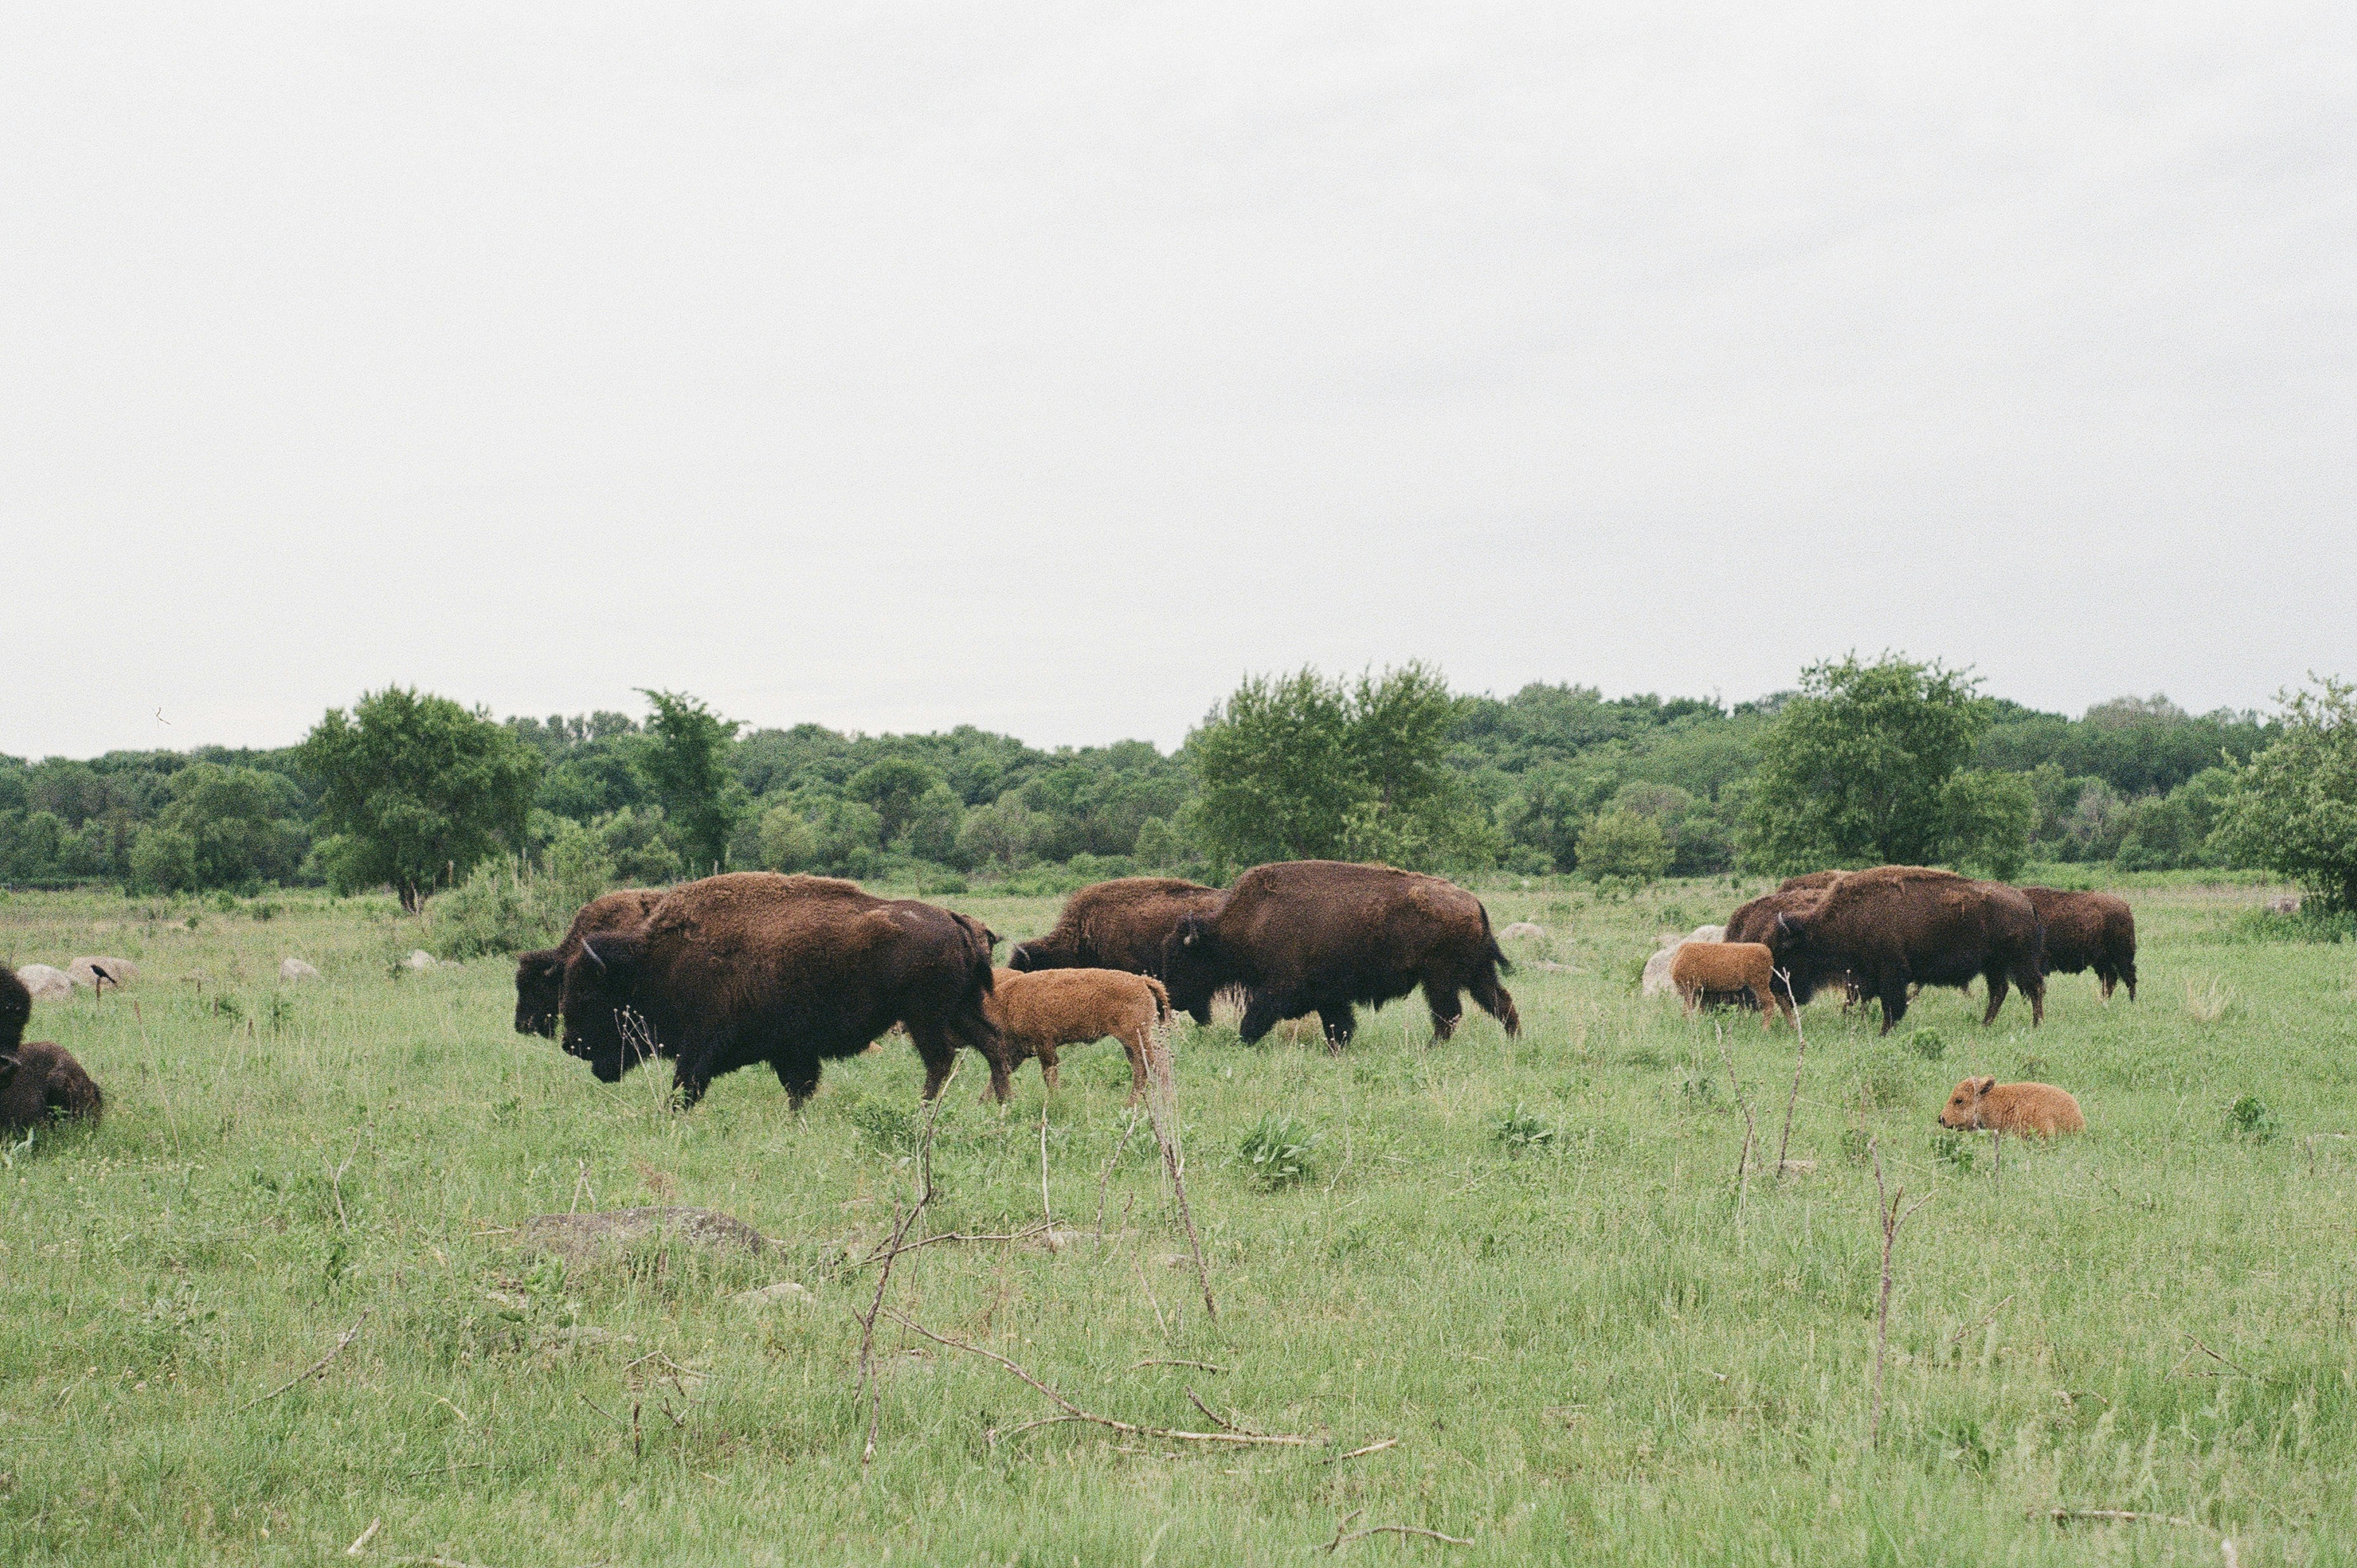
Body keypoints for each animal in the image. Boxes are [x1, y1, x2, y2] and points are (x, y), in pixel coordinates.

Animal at [557, 872, 1011, 1108]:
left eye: (588, 994)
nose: (569, 1045)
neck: (653, 962)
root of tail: (955, 920)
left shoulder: (701, 1044)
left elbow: (686, 1084)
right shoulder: (791, 1049)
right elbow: (799, 1085)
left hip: (924, 1016)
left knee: (940, 1059)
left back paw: (923, 1108)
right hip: (958, 1009)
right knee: (992, 1045)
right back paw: (1001, 1105)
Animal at [1161, 860, 1518, 1048]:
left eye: (1181, 958)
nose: (1171, 998)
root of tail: (1473, 901)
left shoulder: (1279, 989)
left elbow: (1255, 1018)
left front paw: (1243, 1041)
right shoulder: (1328, 996)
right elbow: (1338, 1023)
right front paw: (1339, 1047)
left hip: (1441, 979)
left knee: (1449, 1013)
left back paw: (1433, 1047)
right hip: (1475, 974)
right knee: (1499, 1002)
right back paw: (1513, 1040)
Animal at [1760, 865, 2044, 1034]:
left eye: (1785, 950)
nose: (1776, 986)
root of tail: (2025, 901)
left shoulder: (1890, 973)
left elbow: (1891, 1004)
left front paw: (1884, 1032)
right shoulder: (1867, 978)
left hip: (2020, 961)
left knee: (2034, 988)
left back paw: (2036, 1025)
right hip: (1993, 965)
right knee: (2000, 991)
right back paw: (1985, 1026)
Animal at [2021, 887, 2137, 1001]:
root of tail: (2125, 907)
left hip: (2121, 956)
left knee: (2129, 977)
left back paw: (2131, 1001)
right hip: (2103, 960)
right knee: (2111, 978)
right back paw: (2105, 1001)